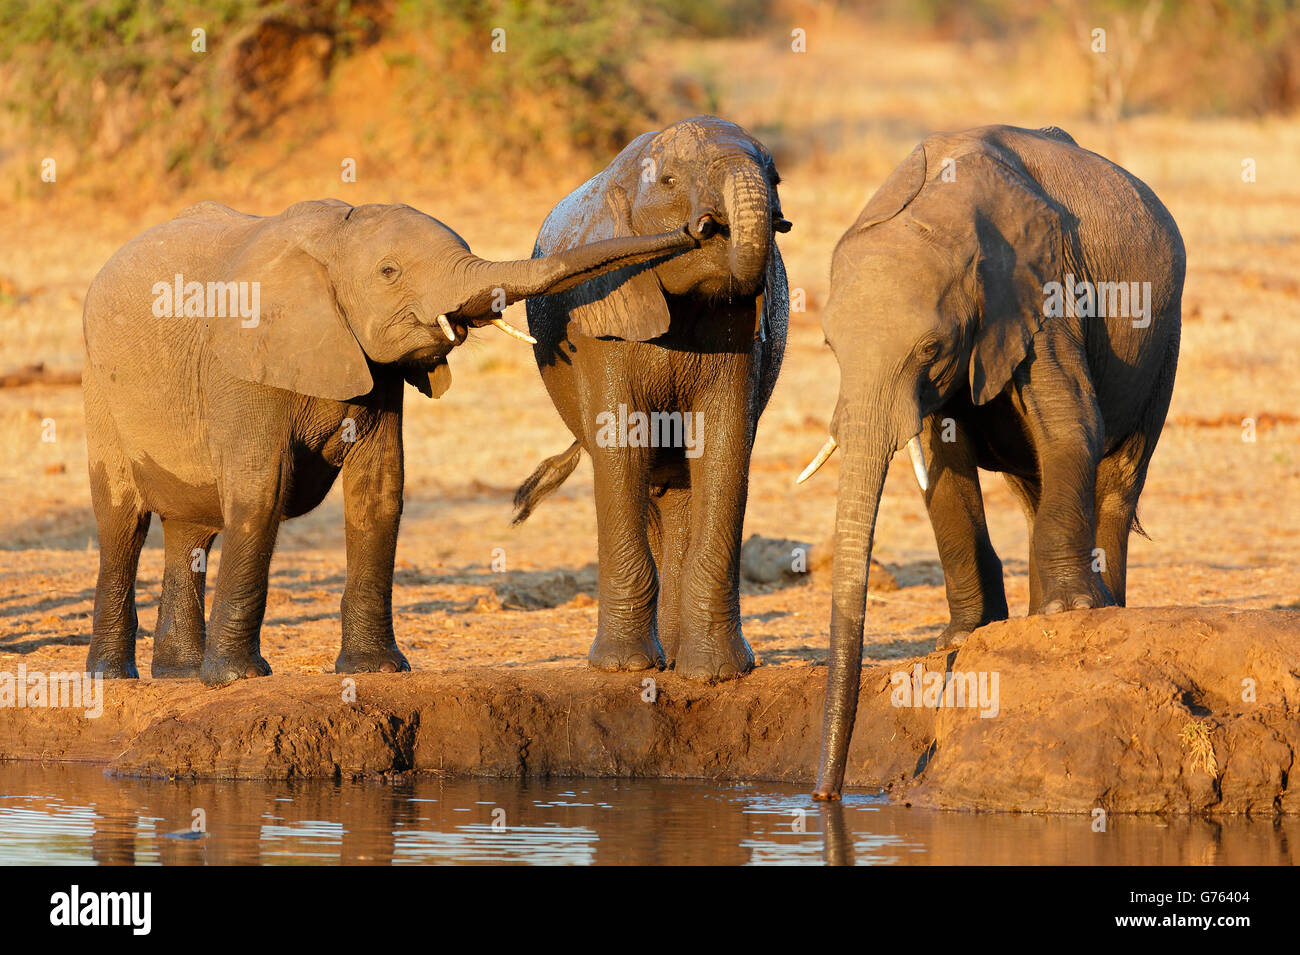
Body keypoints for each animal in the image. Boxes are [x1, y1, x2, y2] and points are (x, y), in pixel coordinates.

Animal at [82, 198, 698, 686]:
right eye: (389, 271)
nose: (701, 225)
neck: (335, 239)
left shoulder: (379, 375)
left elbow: (379, 490)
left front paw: (375, 669)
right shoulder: (244, 365)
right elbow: (260, 492)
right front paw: (237, 679)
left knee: (191, 531)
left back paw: (179, 675)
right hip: (100, 392)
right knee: (122, 525)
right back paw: (115, 677)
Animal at [511, 115, 791, 681]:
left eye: (776, 180)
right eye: (668, 182)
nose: (702, 227)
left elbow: (724, 447)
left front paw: (716, 675)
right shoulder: (599, 312)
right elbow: (621, 449)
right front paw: (621, 668)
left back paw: (679, 661)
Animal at [802, 125, 1184, 798]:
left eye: (931, 347)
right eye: (829, 344)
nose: (825, 795)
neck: (938, 212)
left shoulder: (1044, 288)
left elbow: (1070, 423)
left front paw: (1065, 616)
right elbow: (941, 461)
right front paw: (965, 637)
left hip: (1162, 340)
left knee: (1120, 472)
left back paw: (1098, 606)